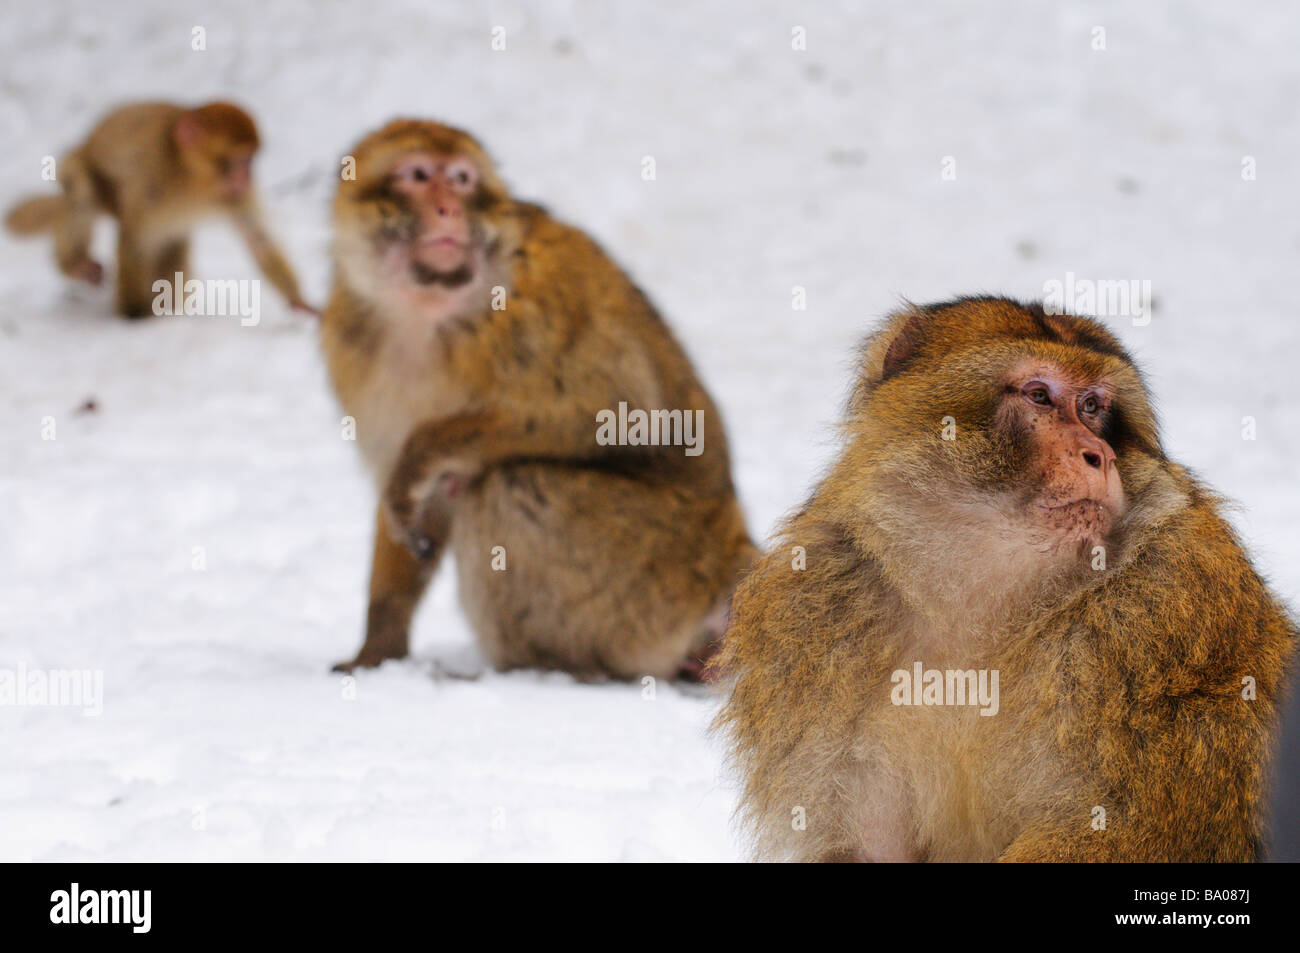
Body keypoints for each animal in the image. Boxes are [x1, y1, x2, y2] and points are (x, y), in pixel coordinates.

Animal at [4, 101, 314, 318]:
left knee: (172, 243)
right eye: (241, 160)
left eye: (251, 160)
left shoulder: (235, 196)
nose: (247, 176)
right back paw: (75, 264)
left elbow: (258, 241)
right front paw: (134, 317)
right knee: (82, 190)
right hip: (80, 167)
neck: (192, 175)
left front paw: (299, 302)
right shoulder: (150, 175)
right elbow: (135, 243)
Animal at [320, 119, 757, 681]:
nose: (447, 209)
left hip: (658, 580)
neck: (428, 308)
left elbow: (625, 410)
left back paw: (550, 667)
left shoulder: (538, 301)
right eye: (417, 176)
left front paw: (427, 448)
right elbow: (418, 503)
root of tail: (733, 558)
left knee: (508, 485)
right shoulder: (351, 345)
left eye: (460, 179)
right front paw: (378, 649)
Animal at [714, 296, 1296, 862]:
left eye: (1092, 407)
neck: (981, 613)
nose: (1101, 455)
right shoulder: (818, 614)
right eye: (1039, 395)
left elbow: (1126, 826)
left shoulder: (1171, 623)